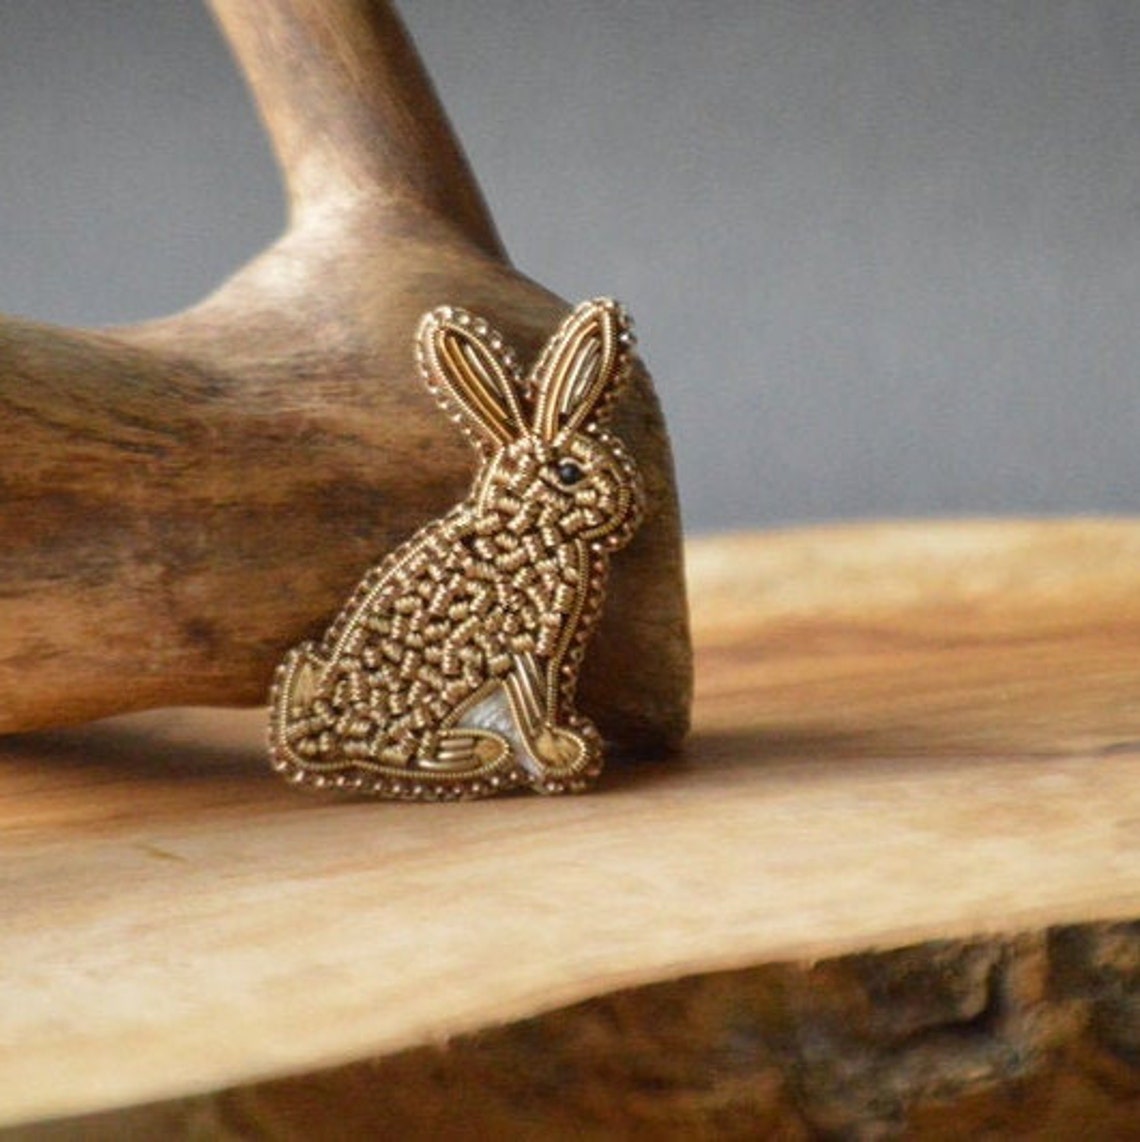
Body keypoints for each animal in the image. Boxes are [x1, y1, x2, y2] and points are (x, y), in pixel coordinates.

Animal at [268, 298, 645, 800]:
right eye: (569, 473)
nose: (627, 502)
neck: (525, 524)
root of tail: (313, 736)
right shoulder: (519, 646)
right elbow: (531, 704)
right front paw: (558, 752)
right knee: (403, 747)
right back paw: (478, 752)